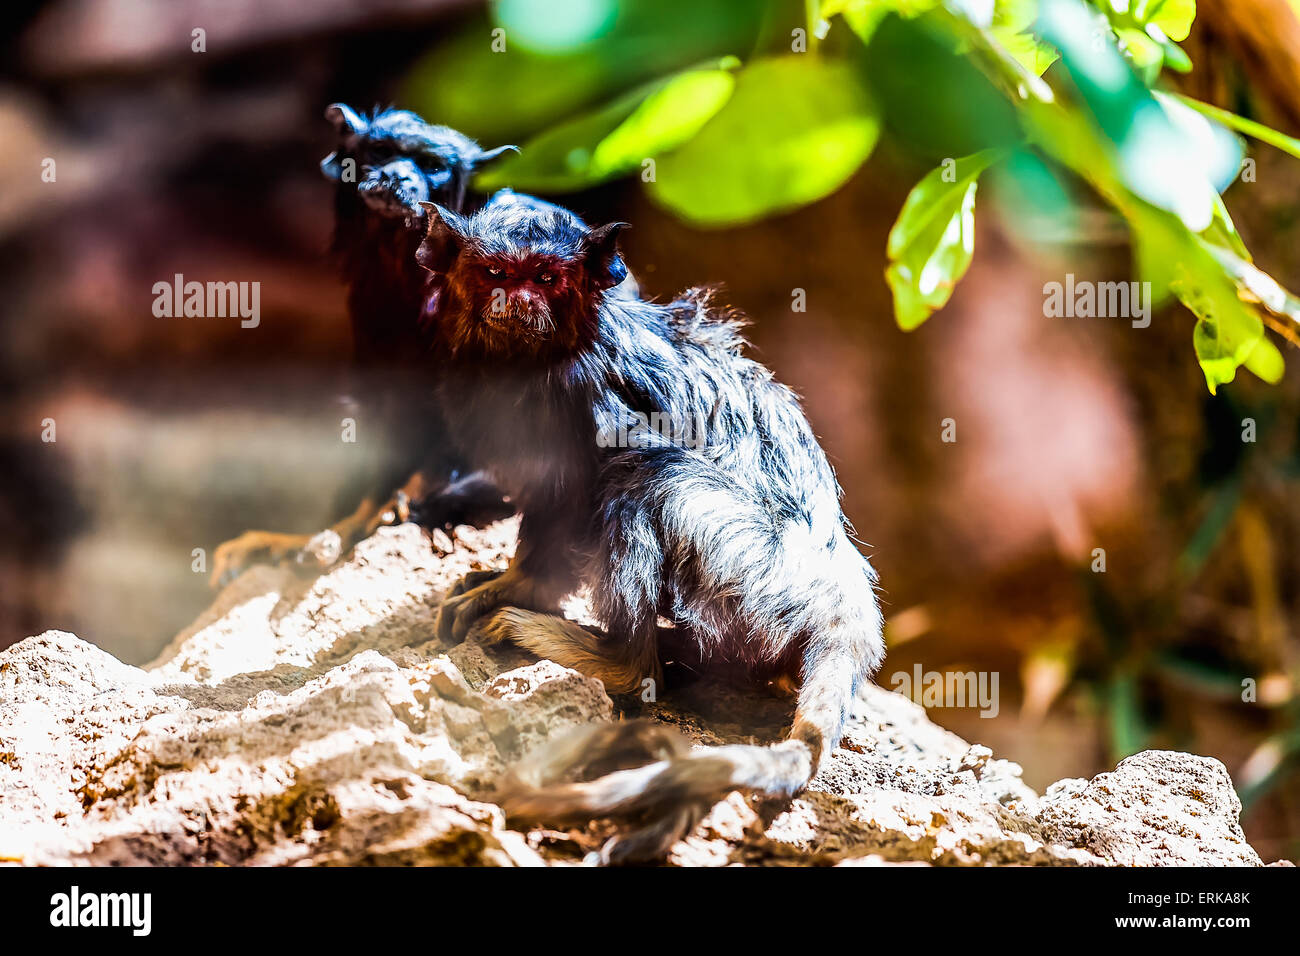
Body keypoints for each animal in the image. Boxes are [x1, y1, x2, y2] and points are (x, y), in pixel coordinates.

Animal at [413, 198, 885, 863]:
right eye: (495, 275)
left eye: (547, 279)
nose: (519, 301)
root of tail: (841, 586)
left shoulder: (582, 392)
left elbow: (575, 497)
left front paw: (514, 588)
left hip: (752, 559)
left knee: (649, 477)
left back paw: (620, 660)